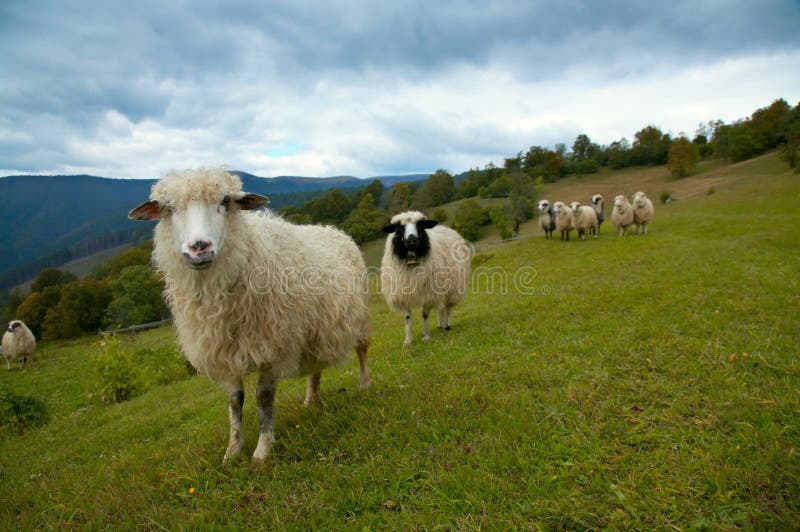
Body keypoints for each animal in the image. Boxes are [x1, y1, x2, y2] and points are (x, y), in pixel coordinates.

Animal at [128, 168, 371, 464]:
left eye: (225, 201)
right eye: (169, 208)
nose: (200, 247)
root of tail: (331, 229)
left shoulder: (271, 344)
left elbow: (263, 397)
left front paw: (262, 452)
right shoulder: (226, 350)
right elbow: (235, 401)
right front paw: (232, 452)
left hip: (359, 318)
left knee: (362, 351)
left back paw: (365, 384)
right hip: (315, 328)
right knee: (316, 366)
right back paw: (311, 400)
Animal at [381, 211, 470, 346]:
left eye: (420, 225)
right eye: (398, 228)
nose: (412, 240)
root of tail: (446, 228)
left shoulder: (428, 291)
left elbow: (425, 315)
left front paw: (426, 336)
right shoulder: (405, 292)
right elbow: (407, 317)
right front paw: (407, 341)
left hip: (453, 286)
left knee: (448, 307)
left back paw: (447, 326)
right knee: (440, 308)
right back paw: (440, 325)